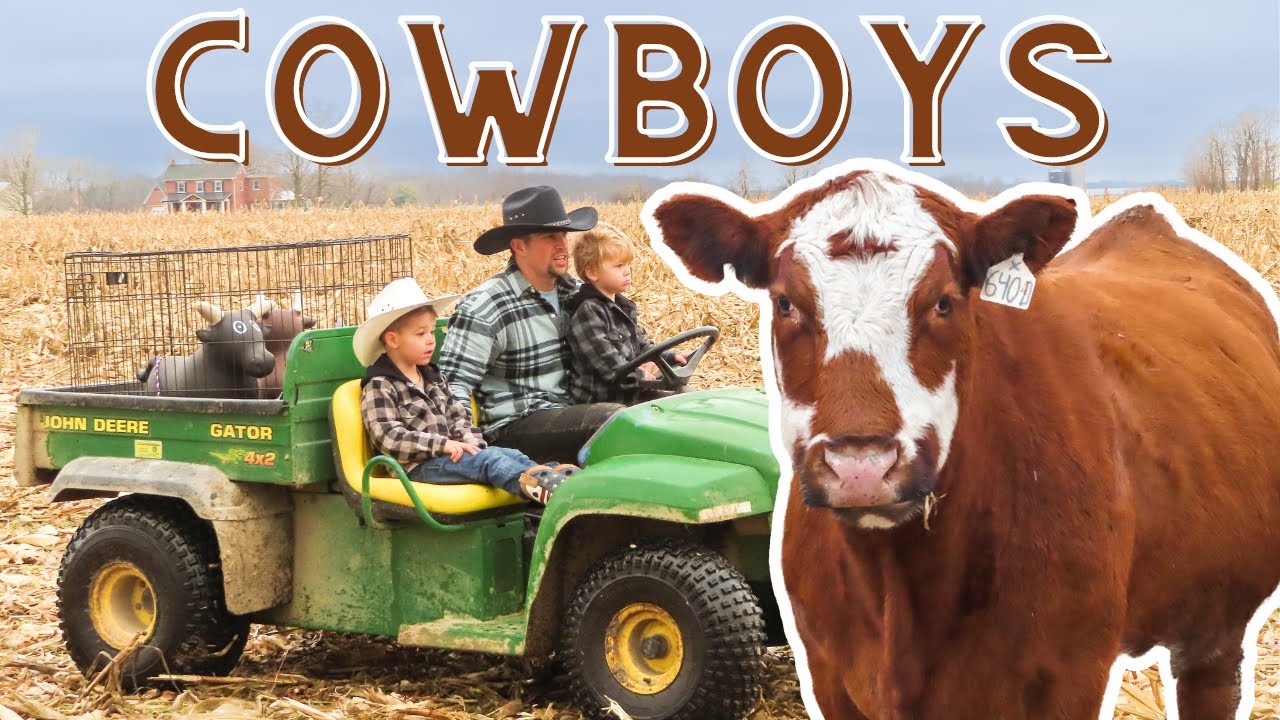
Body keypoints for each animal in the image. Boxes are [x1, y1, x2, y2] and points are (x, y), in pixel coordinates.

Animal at [644, 162, 1280, 720]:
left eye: (945, 301)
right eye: (784, 302)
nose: (861, 468)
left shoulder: (1066, 676)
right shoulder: (829, 674)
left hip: (1216, 630)